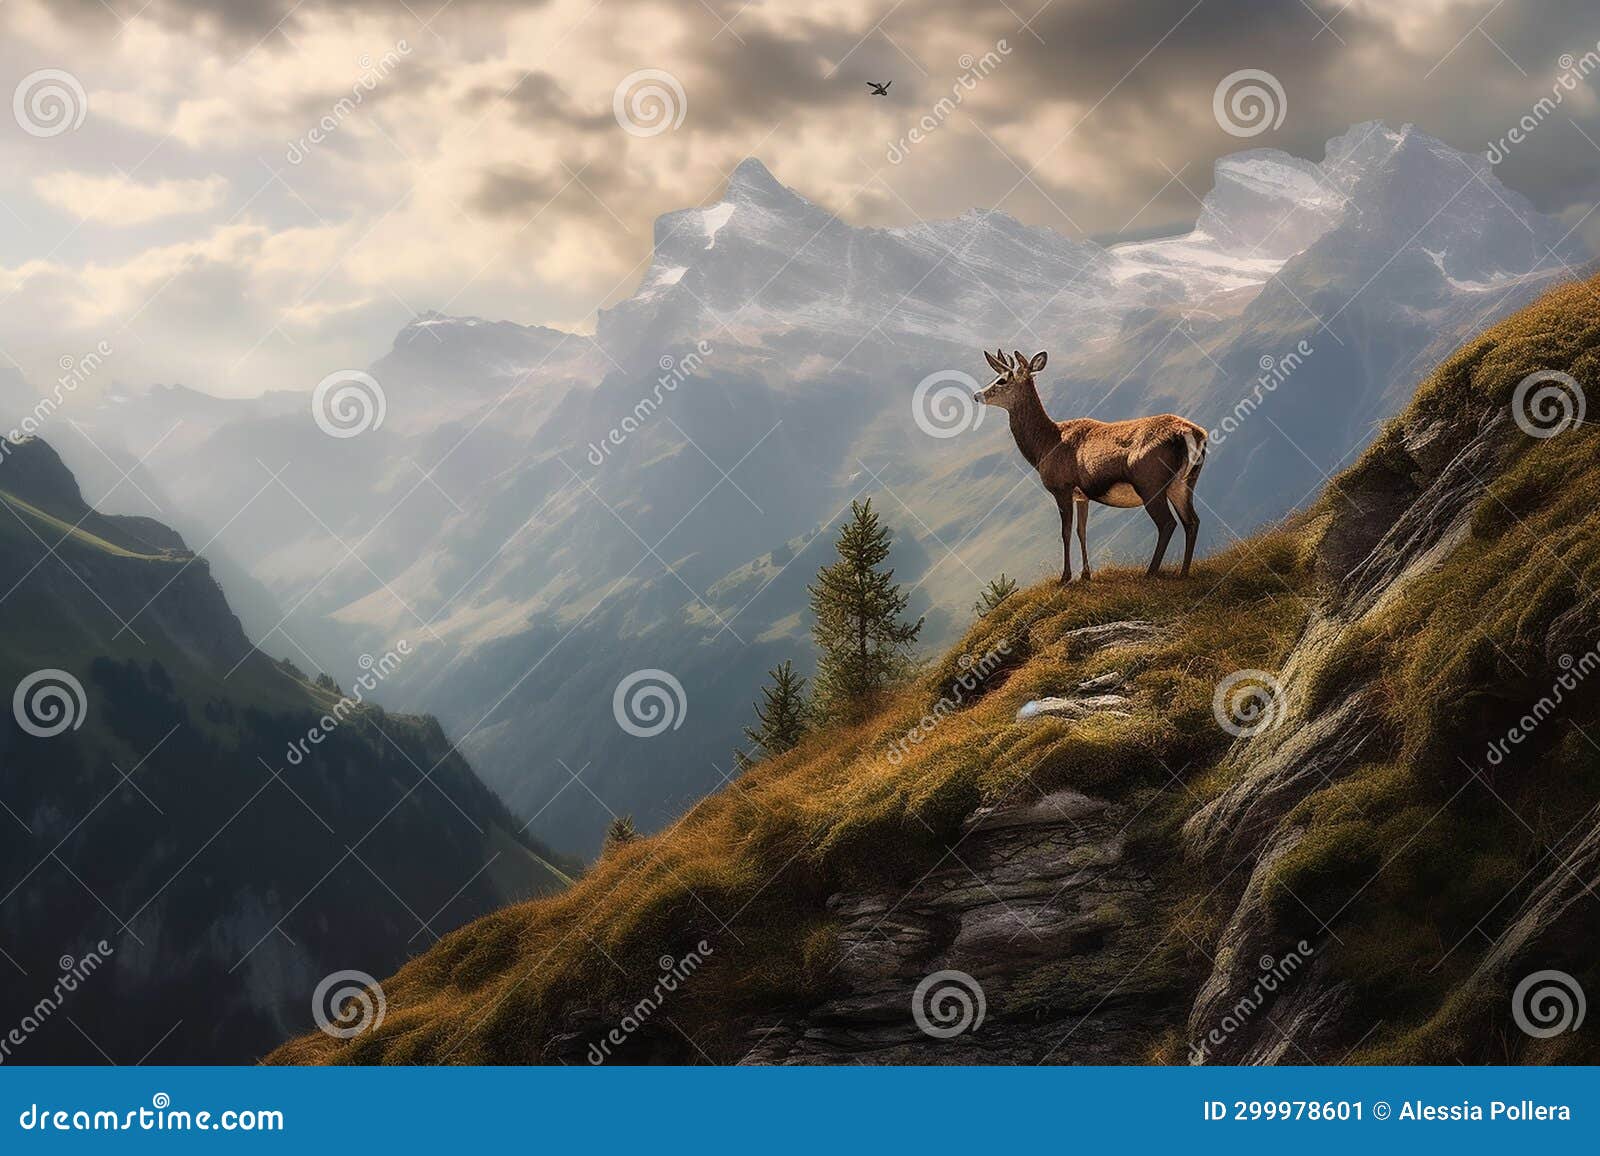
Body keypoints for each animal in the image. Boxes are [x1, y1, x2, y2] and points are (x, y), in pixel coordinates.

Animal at [976, 349, 1207, 583]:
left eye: (1002, 380)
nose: (977, 395)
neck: (1045, 446)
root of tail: (1192, 434)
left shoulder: (1062, 487)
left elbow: (1066, 531)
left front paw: (1065, 577)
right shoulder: (1082, 495)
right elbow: (1082, 530)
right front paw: (1086, 574)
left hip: (1150, 483)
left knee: (1168, 523)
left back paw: (1150, 572)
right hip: (1184, 481)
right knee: (1192, 521)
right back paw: (1183, 573)